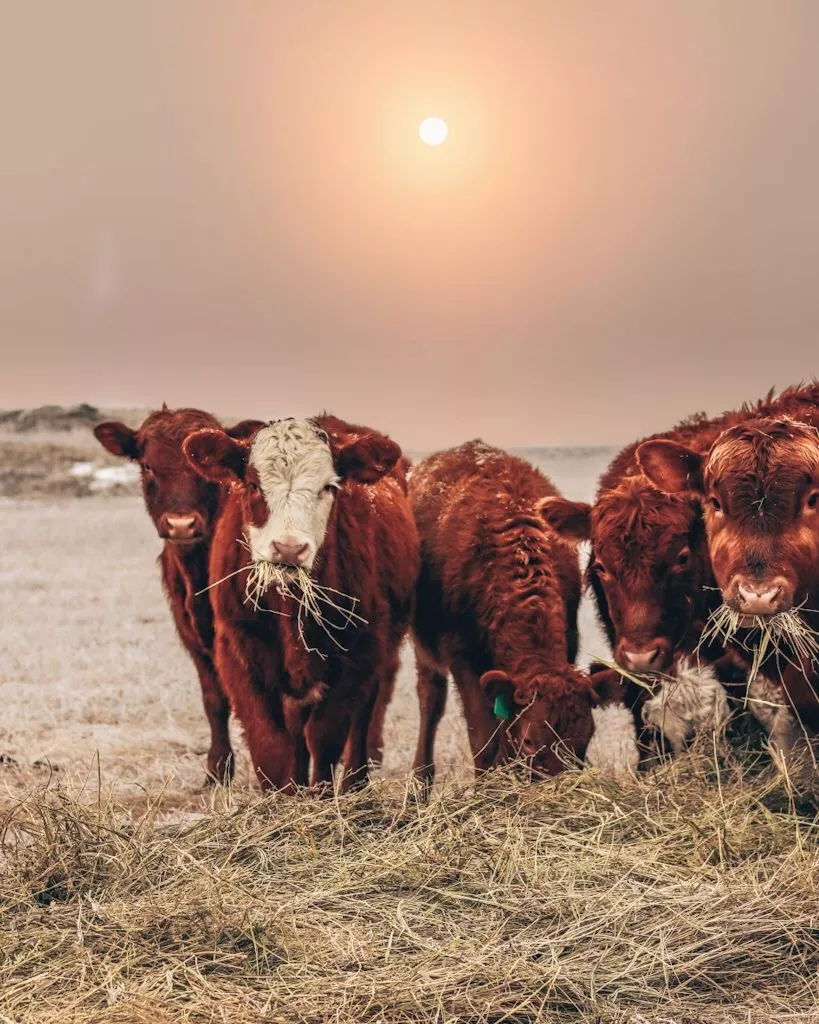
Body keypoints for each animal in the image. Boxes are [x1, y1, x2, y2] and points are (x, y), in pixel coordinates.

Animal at [93, 407, 263, 784]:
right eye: (147, 465)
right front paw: (218, 768)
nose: (182, 524)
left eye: (203, 467)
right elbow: (214, 700)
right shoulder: (193, 638)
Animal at [183, 415, 419, 792]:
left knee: (362, 718)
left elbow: (325, 737)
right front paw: (282, 801)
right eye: (253, 485)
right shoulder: (238, 651)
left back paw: (355, 784)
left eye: (329, 487)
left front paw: (320, 797)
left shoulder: (358, 654)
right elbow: (271, 746)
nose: (289, 549)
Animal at [408, 440, 637, 789]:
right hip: (425, 649)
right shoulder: (462, 658)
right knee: (430, 699)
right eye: (530, 741)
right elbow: (484, 737)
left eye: (584, 741)